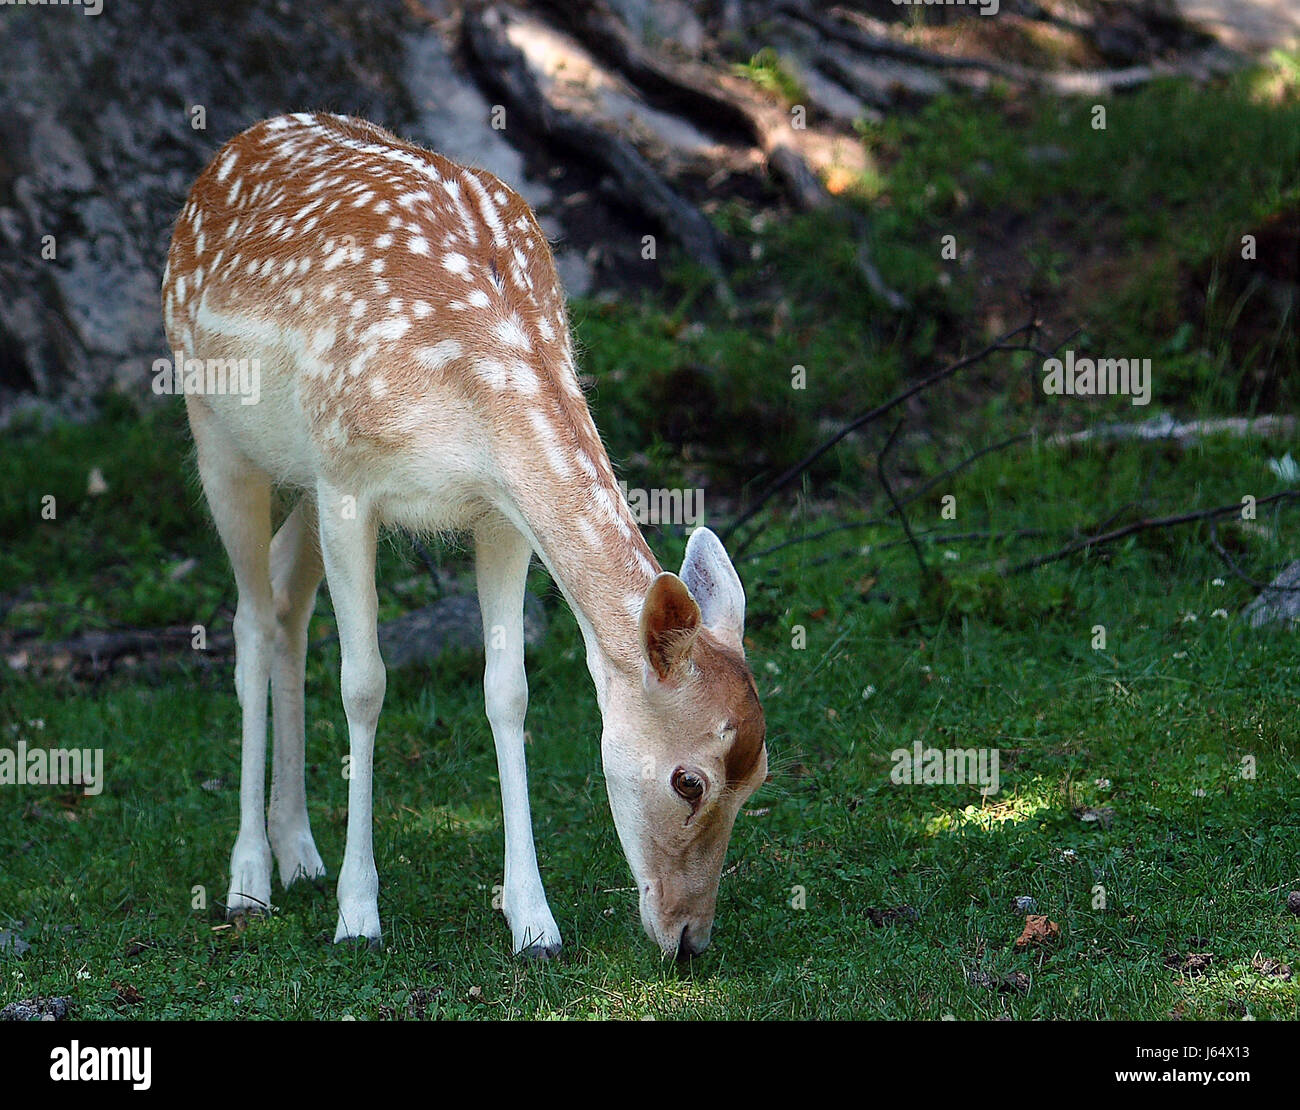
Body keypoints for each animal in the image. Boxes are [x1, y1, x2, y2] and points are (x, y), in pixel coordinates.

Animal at [161, 113, 767, 959]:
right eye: (689, 779)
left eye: (761, 776)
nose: (689, 941)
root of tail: (222, 157)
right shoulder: (349, 485)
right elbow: (364, 685)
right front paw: (359, 916)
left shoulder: (498, 514)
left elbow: (508, 692)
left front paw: (534, 921)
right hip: (218, 428)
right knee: (248, 618)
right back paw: (250, 878)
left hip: (302, 475)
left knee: (285, 599)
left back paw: (298, 850)